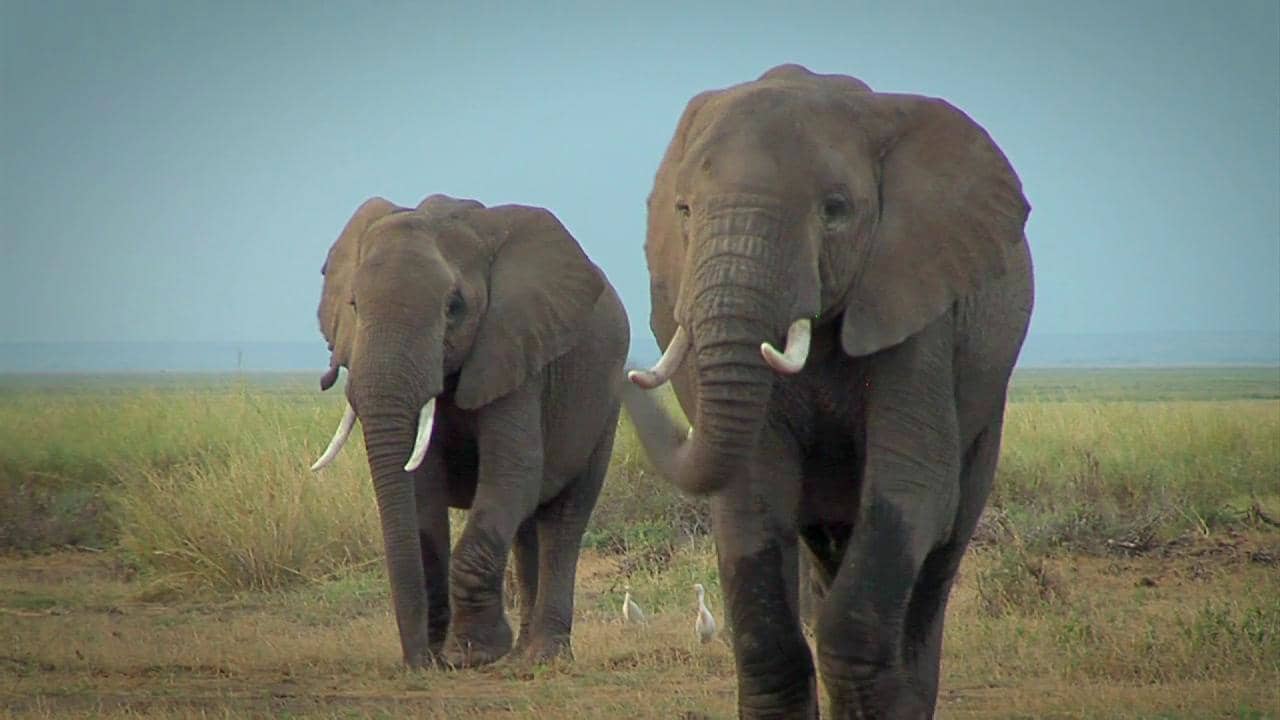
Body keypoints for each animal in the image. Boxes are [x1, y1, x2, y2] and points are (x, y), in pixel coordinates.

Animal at [310, 193, 629, 669]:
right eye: (353, 305)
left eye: (453, 307)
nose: (418, 663)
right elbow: (423, 488)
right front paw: (446, 654)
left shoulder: (514, 348)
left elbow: (512, 472)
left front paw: (470, 655)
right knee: (526, 527)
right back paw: (520, 656)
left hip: (604, 400)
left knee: (565, 518)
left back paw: (544, 657)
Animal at [621, 64, 1034, 718]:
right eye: (684, 211)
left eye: (835, 210)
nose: (628, 373)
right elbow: (752, 499)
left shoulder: (917, 302)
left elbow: (910, 488)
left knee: (937, 560)